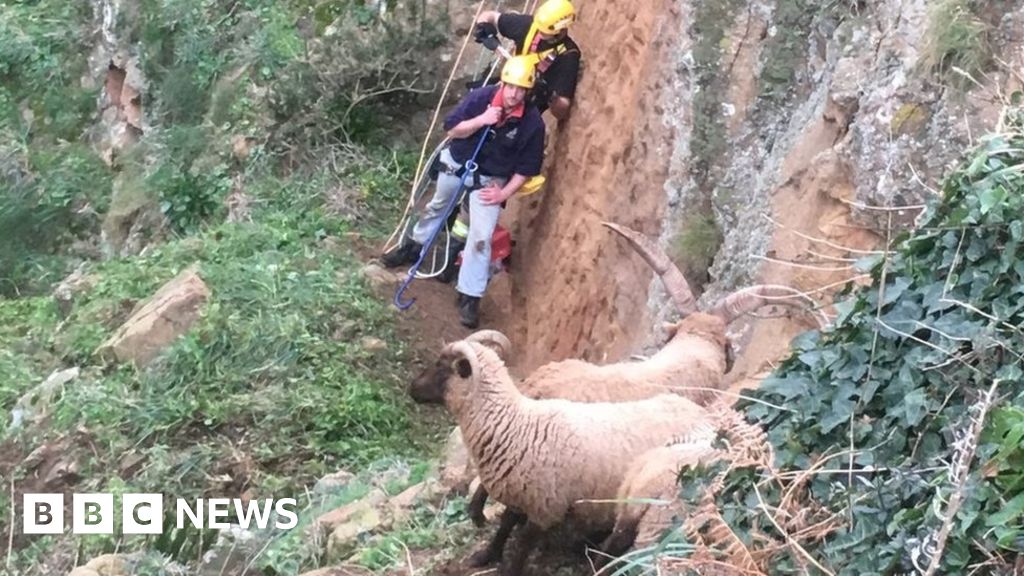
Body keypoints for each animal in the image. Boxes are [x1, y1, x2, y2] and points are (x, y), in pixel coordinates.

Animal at [408, 336, 718, 576]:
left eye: (441, 367)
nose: (411, 388)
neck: (515, 424)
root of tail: (703, 414)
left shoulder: (546, 505)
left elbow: (522, 543)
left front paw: (507, 567)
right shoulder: (522, 491)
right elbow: (505, 526)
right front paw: (485, 556)